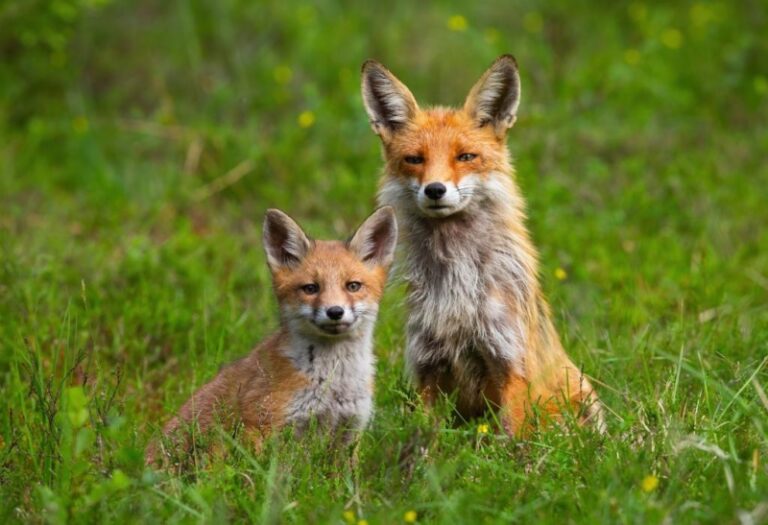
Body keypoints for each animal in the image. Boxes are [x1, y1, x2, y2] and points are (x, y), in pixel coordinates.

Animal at [146, 206, 398, 464]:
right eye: (311, 288)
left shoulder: (350, 432)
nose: (335, 312)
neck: (334, 381)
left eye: (353, 286)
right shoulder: (262, 424)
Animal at [360, 55, 605, 436]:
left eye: (465, 157)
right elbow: (425, 436)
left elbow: (514, 436)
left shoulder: (508, 359)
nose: (435, 190)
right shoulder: (428, 364)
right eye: (414, 159)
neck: (457, 285)